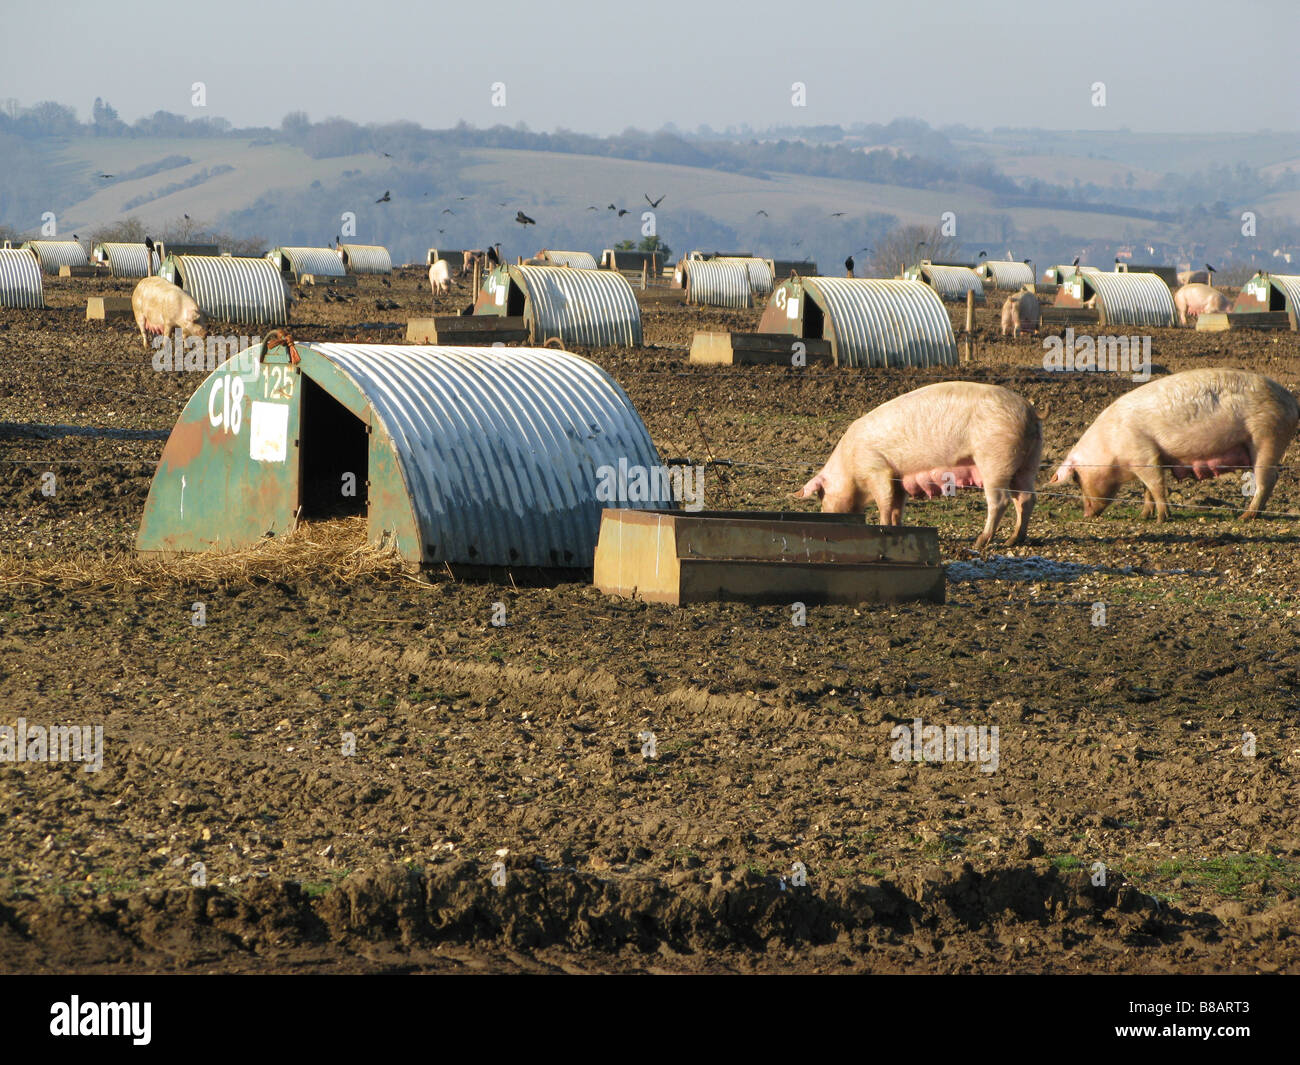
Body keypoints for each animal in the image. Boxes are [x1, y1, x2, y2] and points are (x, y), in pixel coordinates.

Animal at [796, 382, 1043, 550]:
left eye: (822, 494)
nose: (826, 514)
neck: (850, 467)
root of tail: (1029, 414)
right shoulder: (898, 479)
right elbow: (897, 507)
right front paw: (896, 527)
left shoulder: (877, 468)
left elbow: (885, 503)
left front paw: (883, 526)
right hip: (1028, 463)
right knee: (1026, 499)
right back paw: (1014, 540)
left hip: (994, 461)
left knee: (1000, 501)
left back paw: (979, 542)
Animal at [1050, 368, 1298, 521]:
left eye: (1077, 479)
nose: (1085, 514)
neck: (1110, 445)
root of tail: (1291, 401)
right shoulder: (1153, 457)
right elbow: (1147, 490)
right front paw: (1143, 516)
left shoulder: (1144, 455)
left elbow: (1157, 486)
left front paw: (1162, 519)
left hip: (1267, 438)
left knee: (1266, 480)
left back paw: (1245, 517)